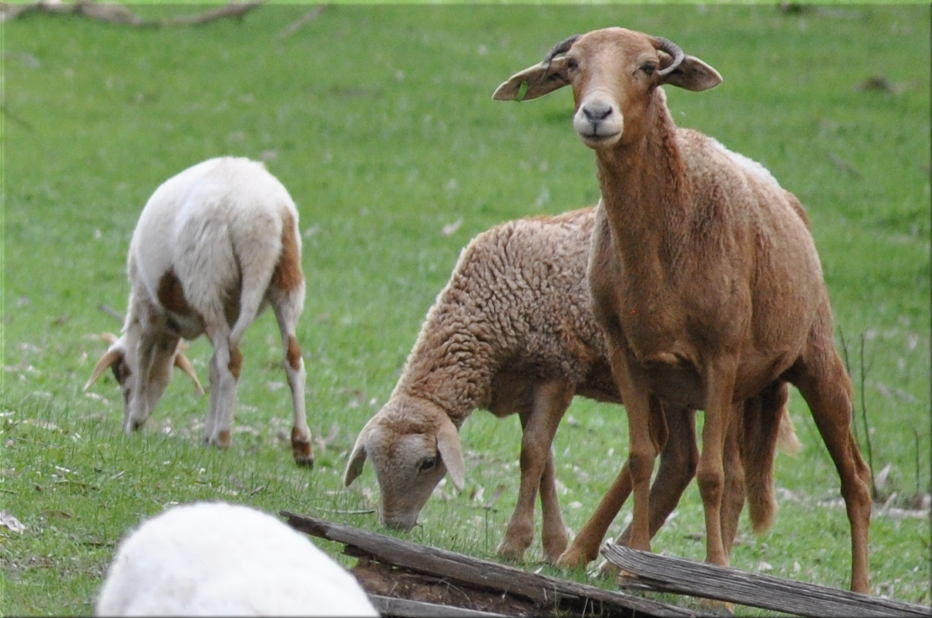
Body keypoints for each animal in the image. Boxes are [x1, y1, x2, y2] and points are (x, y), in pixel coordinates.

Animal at [84, 156, 313, 466]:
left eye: (119, 375)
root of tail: (259, 215)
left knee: (232, 361)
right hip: (287, 282)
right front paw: (203, 432)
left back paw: (223, 437)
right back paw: (302, 447)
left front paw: (136, 417)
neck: (168, 334)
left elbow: (144, 359)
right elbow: (211, 369)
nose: (128, 425)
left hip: (207, 282)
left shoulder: (148, 310)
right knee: (292, 359)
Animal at [343, 207, 799, 563]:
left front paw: (514, 544)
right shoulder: (528, 387)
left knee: (715, 471)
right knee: (679, 458)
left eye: (427, 463)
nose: (394, 525)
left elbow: (531, 454)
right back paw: (606, 557)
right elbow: (545, 460)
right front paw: (550, 544)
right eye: (375, 464)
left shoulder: (558, 369)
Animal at [493, 27, 871, 592]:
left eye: (648, 68)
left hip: (814, 361)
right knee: (707, 469)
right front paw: (640, 565)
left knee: (854, 480)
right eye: (572, 66)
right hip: (695, 383)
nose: (597, 114)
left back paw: (856, 589)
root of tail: (788, 200)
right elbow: (641, 459)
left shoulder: (721, 353)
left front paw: (716, 592)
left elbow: (710, 477)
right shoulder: (626, 353)